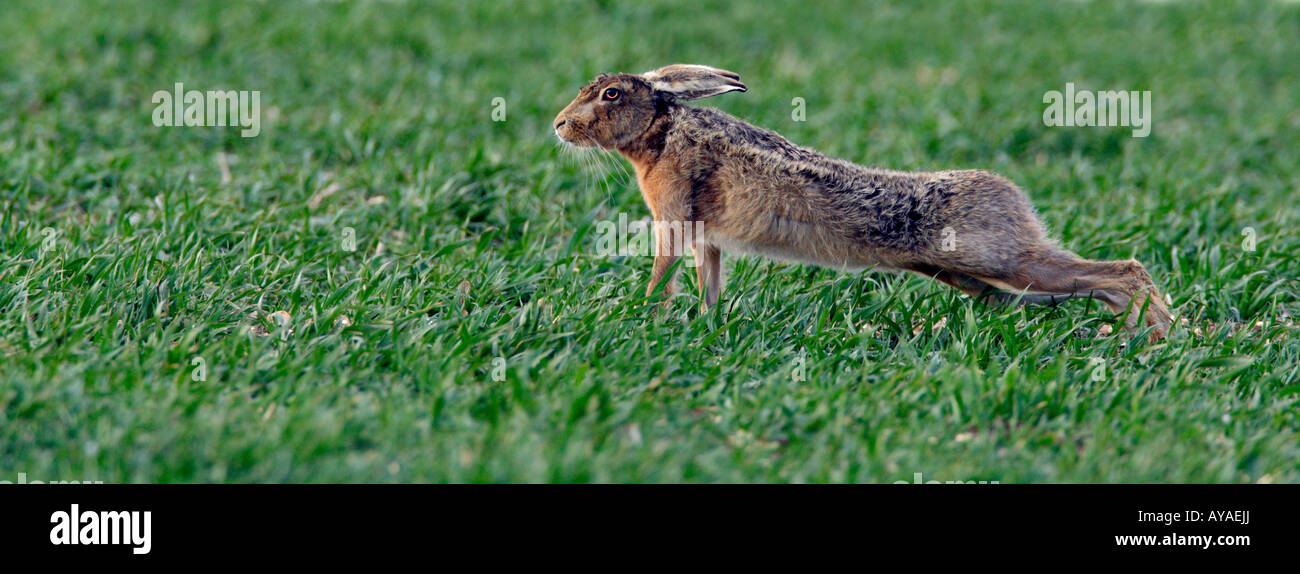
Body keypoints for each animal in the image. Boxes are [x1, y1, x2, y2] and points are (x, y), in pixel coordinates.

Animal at [553, 64, 1173, 341]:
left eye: (611, 94)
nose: (560, 125)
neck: (659, 131)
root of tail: (1011, 197)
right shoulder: (707, 239)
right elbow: (710, 279)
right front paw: (706, 322)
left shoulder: (674, 220)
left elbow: (664, 270)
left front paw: (646, 317)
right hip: (971, 273)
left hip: (1001, 258)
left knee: (1122, 271)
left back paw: (1157, 331)